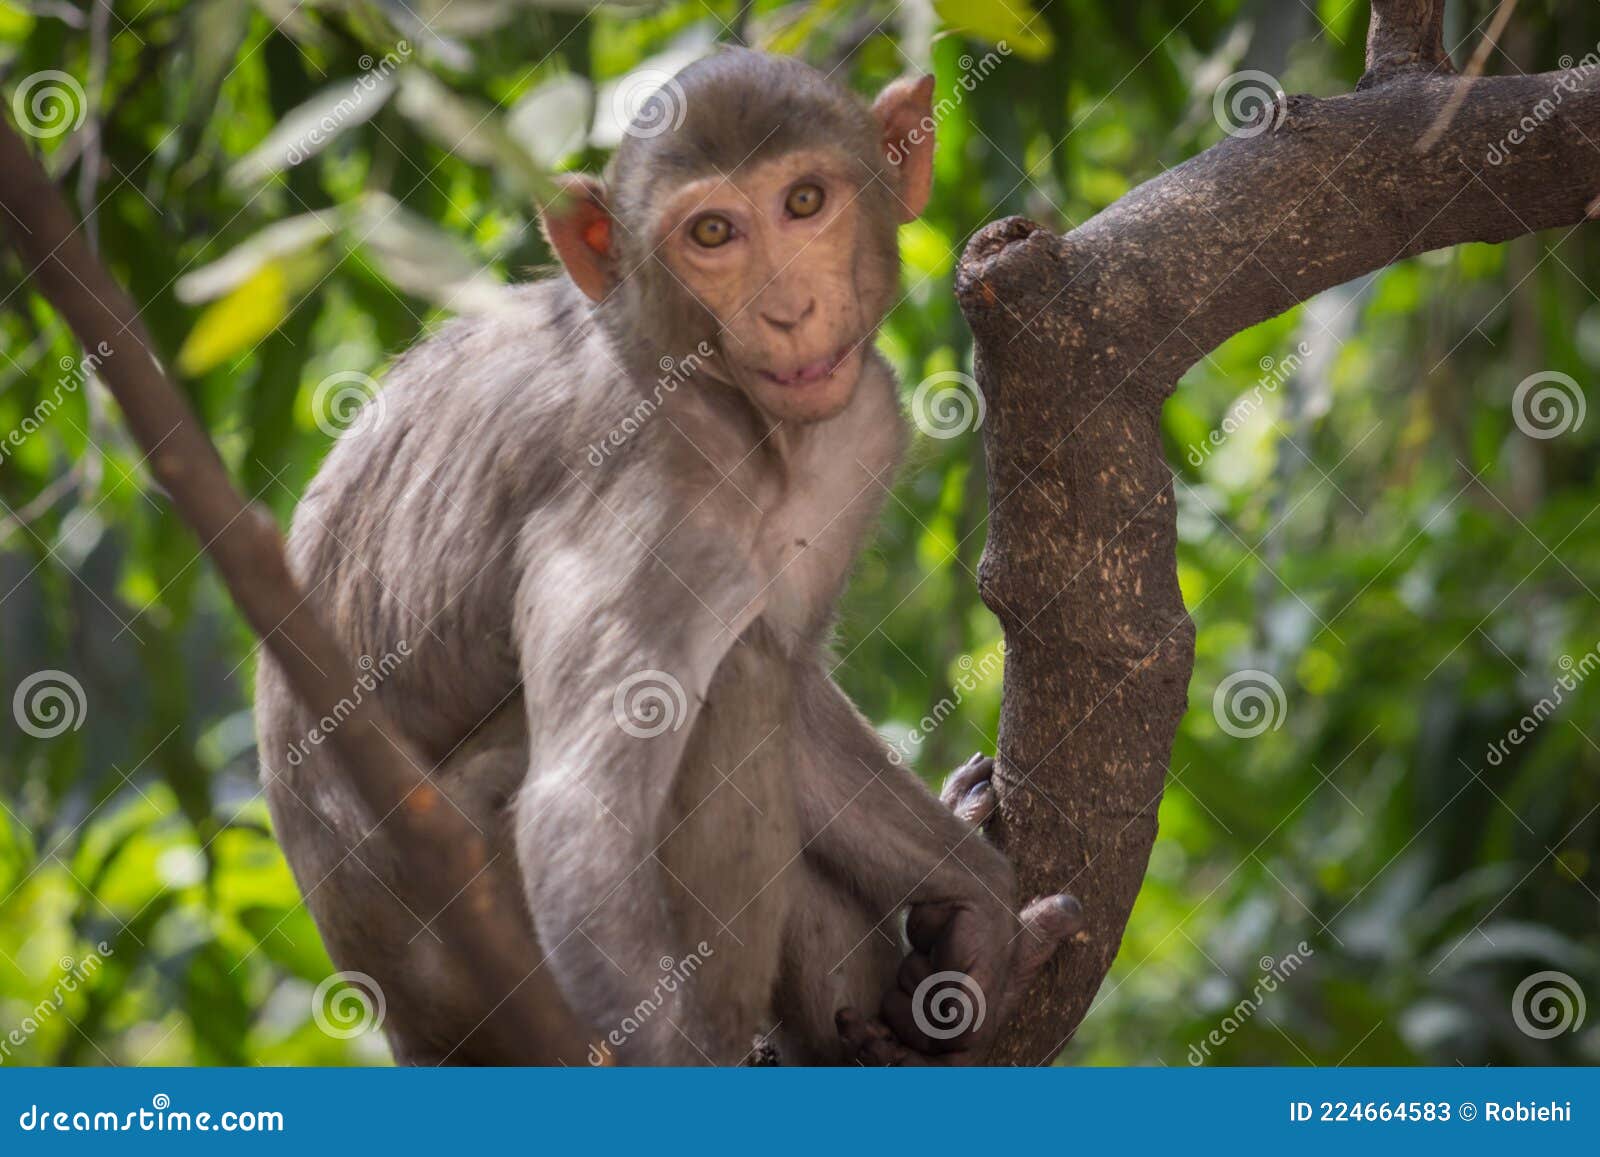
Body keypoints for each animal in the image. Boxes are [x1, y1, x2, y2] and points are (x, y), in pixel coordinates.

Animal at [254, 48, 1080, 1066]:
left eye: (805, 201)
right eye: (713, 233)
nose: (789, 310)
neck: (734, 410)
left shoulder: (858, 428)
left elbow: (797, 699)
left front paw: (980, 907)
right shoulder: (651, 486)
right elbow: (583, 813)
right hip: (490, 964)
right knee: (730, 688)